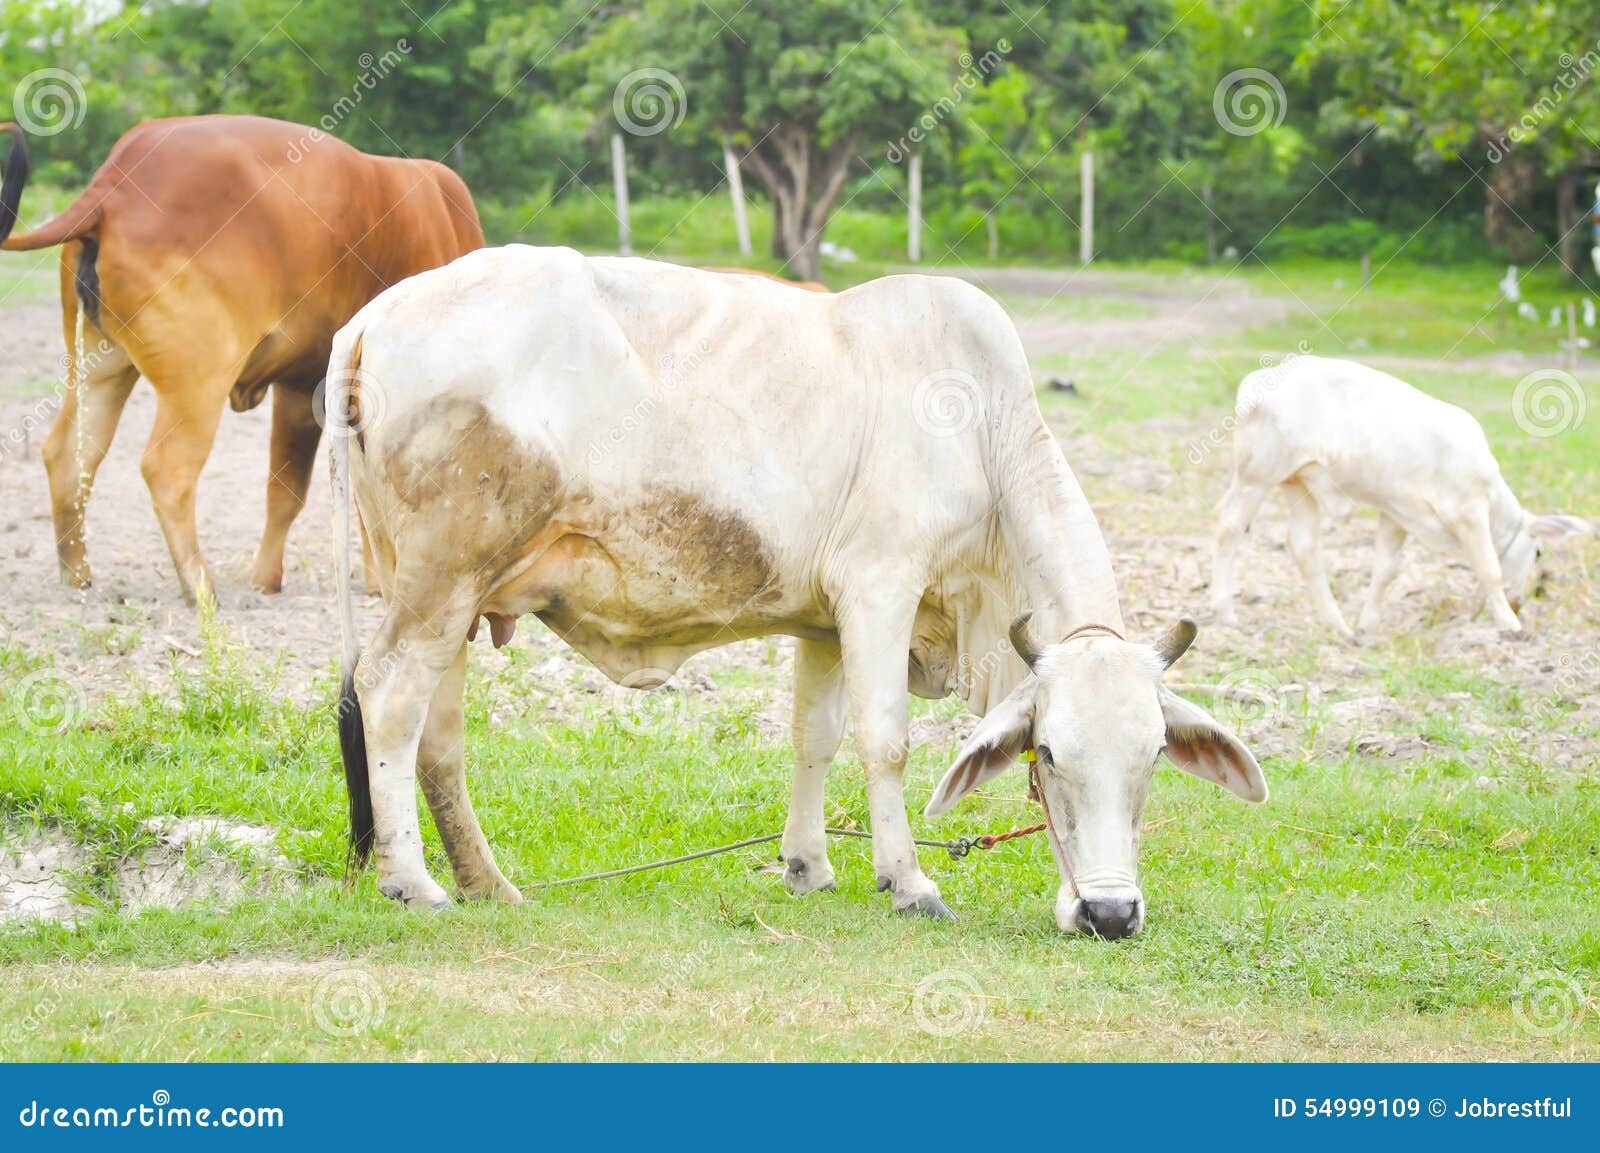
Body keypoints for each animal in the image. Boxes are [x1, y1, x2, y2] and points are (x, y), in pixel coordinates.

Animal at [0, 115, 483, 604]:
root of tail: (115, 185)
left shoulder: (300, 386)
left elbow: (287, 490)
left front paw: (268, 577)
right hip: (198, 385)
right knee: (166, 470)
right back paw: (199, 584)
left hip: (102, 369)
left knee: (69, 457)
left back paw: (76, 573)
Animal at [328, 246, 1266, 938]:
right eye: (1049, 754)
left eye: (1153, 757)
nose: (1108, 910)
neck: (982, 428)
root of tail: (374, 314)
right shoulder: (881, 585)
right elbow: (884, 739)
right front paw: (909, 879)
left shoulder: (823, 622)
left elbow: (813, 737)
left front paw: (809, 865)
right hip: (440, 579)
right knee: (389, 697)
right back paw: (414, 882)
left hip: (457, 595)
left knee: (439, 737)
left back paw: (486, 882)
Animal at [1212, 355, 1590, 636]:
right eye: (1538, 552)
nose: (1519, 603)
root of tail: (1260, 376)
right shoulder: (1470, 513)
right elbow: (1489, 568)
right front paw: (1511, 626)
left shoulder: (1397, 513)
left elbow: (1385, 570)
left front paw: (1366, 626)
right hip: (1256, 476)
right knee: (1229, 529)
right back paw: (1225, 612)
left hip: (1298, 482)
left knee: (1304, 548)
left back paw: (1338, 626)